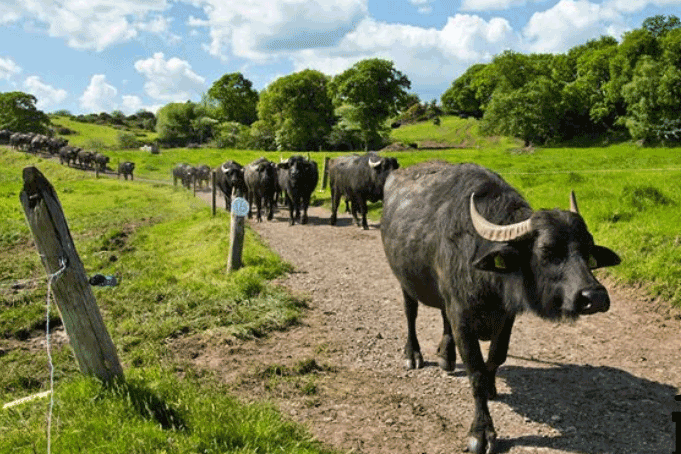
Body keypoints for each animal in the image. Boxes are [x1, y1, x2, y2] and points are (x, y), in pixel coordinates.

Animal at [380, 161, 620, 454]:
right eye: (546, 250)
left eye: (587, 249)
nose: (594, 296)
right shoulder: (462, 317)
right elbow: (475, 371)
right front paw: (481, 431)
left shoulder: (506, 317)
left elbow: (496, 357)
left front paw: (491, 386)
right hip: (404, 281)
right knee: (410, 314)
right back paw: (413, 354)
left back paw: (446, 356)